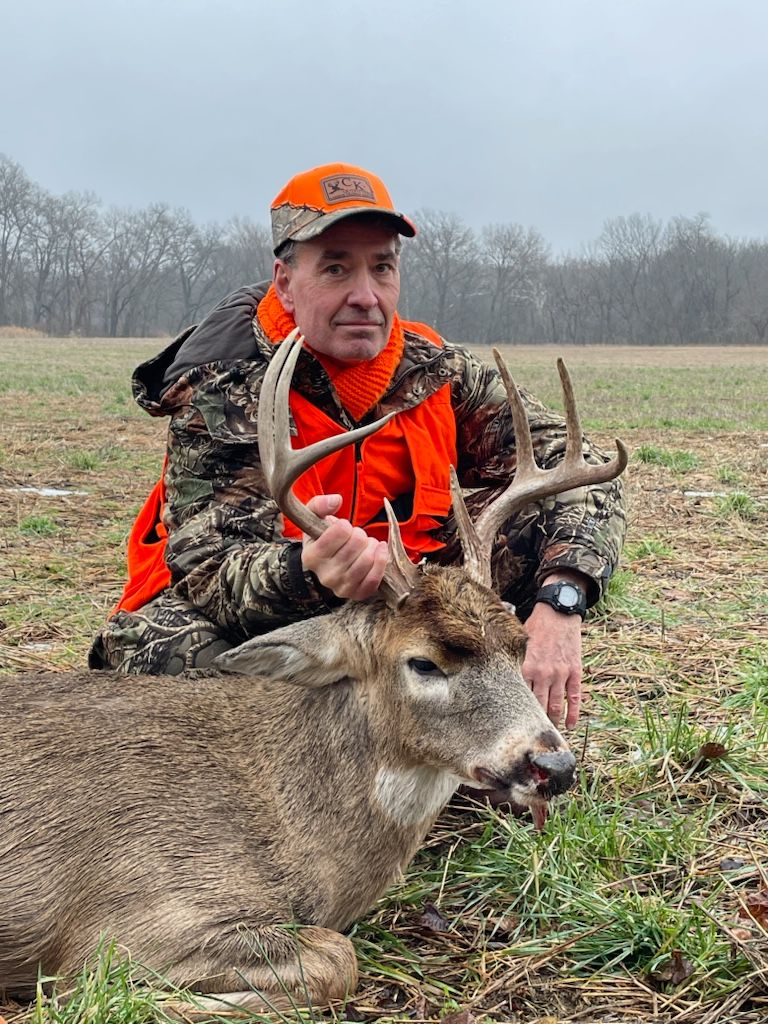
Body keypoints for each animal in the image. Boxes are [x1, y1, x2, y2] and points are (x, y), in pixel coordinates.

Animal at [0, 331, 627, 1016]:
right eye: (423, 661)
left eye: (519, 645)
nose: (554, 765)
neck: (293, 823)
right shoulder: (133, 915)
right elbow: (336, 959)